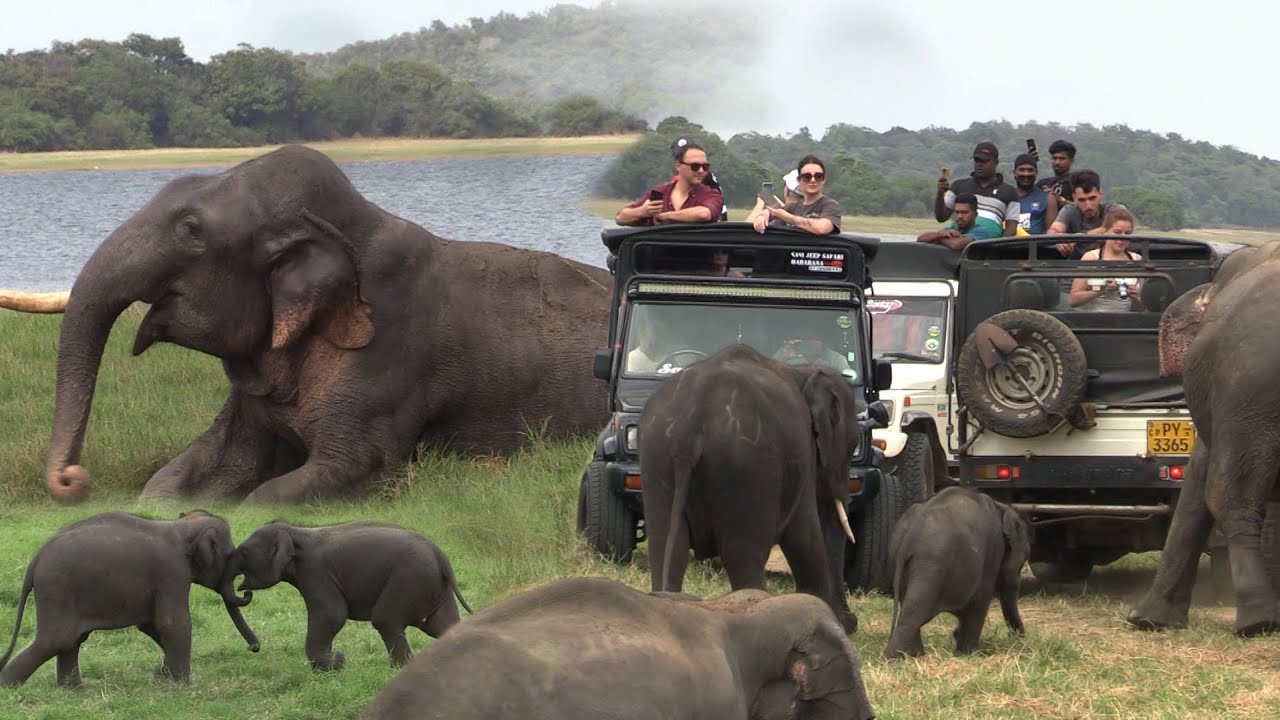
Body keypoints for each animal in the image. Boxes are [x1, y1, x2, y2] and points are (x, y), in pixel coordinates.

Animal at [0, 511, 259, 687]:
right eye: (230, 555)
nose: (254, 647)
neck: (181, 526)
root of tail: (35, 561)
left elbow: (151, 625)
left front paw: (163, 674)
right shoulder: (171, 573)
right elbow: (174, 623)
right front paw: (182, 685)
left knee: (72, 640)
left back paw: (74, 689)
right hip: (58, 589)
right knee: (57, 640)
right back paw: (9, 686)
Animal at [231, 520, 472, 670]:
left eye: (243, 552)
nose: (254, 648)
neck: (295, 531)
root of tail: (440, 555)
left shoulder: (316, 574)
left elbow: (332, 615)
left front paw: (334, 665)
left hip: (409, 578)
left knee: (386, 620)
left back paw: (398, 670)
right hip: (433, 587)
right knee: (442, 625)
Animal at [637, 344, 864, 634]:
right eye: (852, 446)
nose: (852, 623)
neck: (801, 371)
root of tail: (691, 421)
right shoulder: (801, 453)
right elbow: (806, 539)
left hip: (657, 458)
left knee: (667, 547)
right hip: (747, 466)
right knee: (745, 557)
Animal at [883, 487, 1029, 659]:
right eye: (1022, 561)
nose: (1017, 637)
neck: (1000, 505)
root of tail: (910, 534)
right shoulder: (992, 553)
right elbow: (980, 602)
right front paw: (970, 654)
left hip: (902, 561)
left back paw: (914, 655)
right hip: (932, 565)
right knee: (915, 611)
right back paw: (895, 658)